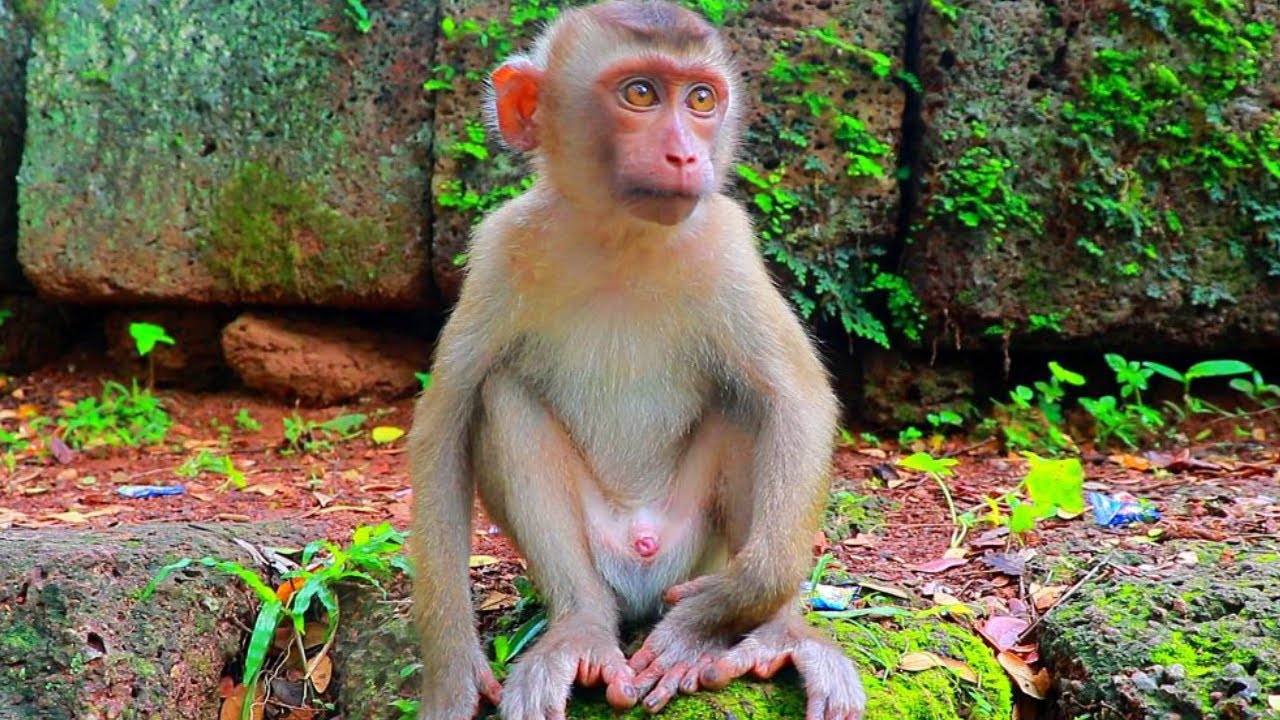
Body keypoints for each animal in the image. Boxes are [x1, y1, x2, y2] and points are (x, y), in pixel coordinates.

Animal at [408, 2, 867, 720]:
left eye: (702, 99)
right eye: (641, 94)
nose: (686, 153)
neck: (622, 236)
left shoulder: (727, 243)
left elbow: (797, 400)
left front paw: (705, 620)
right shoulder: (501, 250)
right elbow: (445, 428)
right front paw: (451, 677)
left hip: (691, 550)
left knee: (752, 404)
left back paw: (776, 631)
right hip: (606, 555)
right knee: (500, 394)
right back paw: (581, 630)